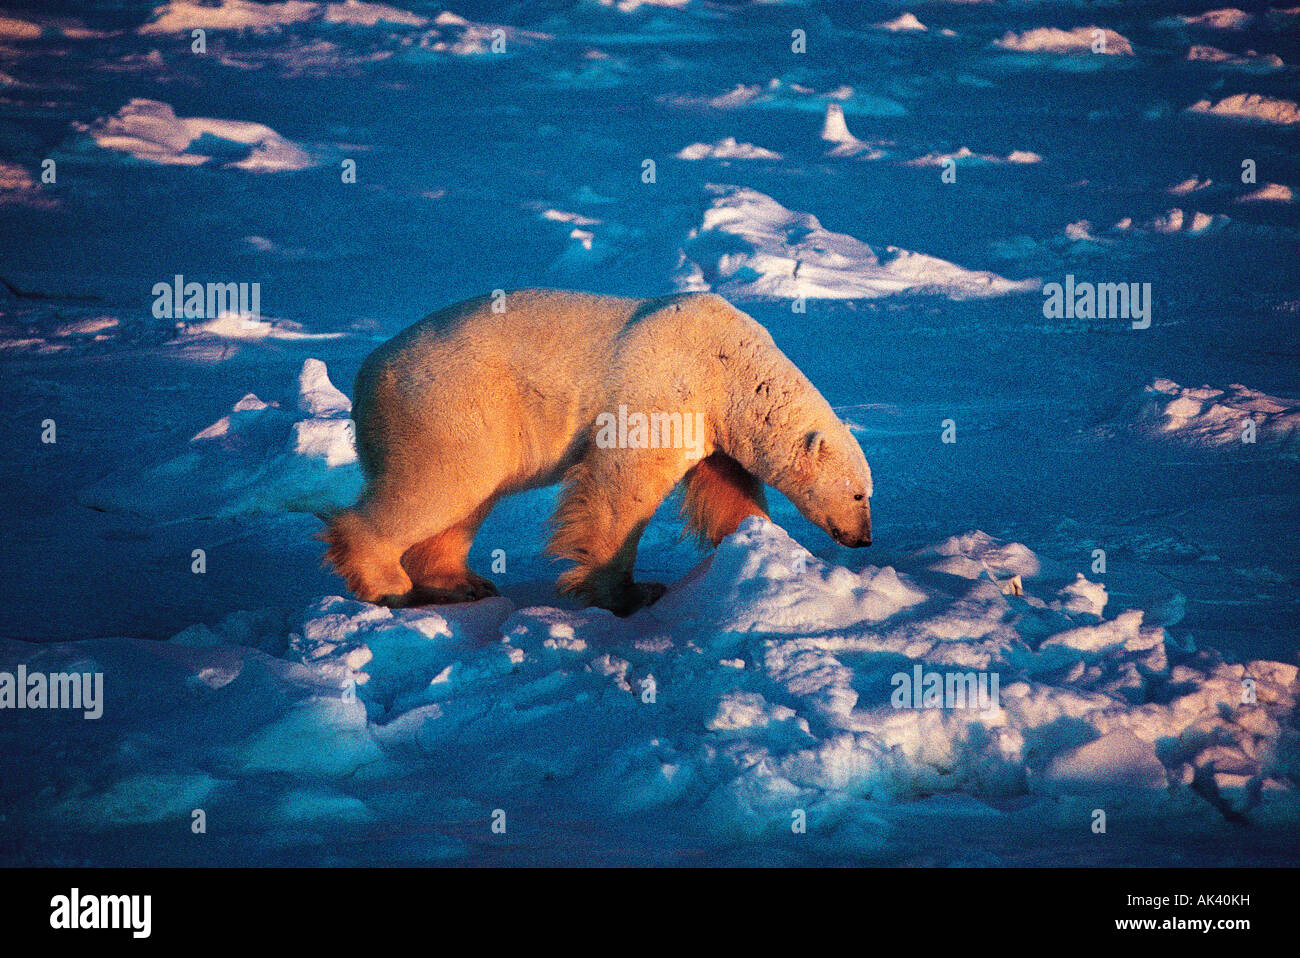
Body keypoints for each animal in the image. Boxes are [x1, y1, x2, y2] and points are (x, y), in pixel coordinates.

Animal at [323, 289, 873, 615]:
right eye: (859, 495)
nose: (864, 539)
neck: (732, 367)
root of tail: (365, 376)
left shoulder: (715, 424)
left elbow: (728, 491)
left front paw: (760, 547)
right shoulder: (664, 392)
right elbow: (623, 490)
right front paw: (632, 593)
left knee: (465, 502)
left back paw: (462, 583)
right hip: (450, 408)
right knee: (439, 485)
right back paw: (388, 584)